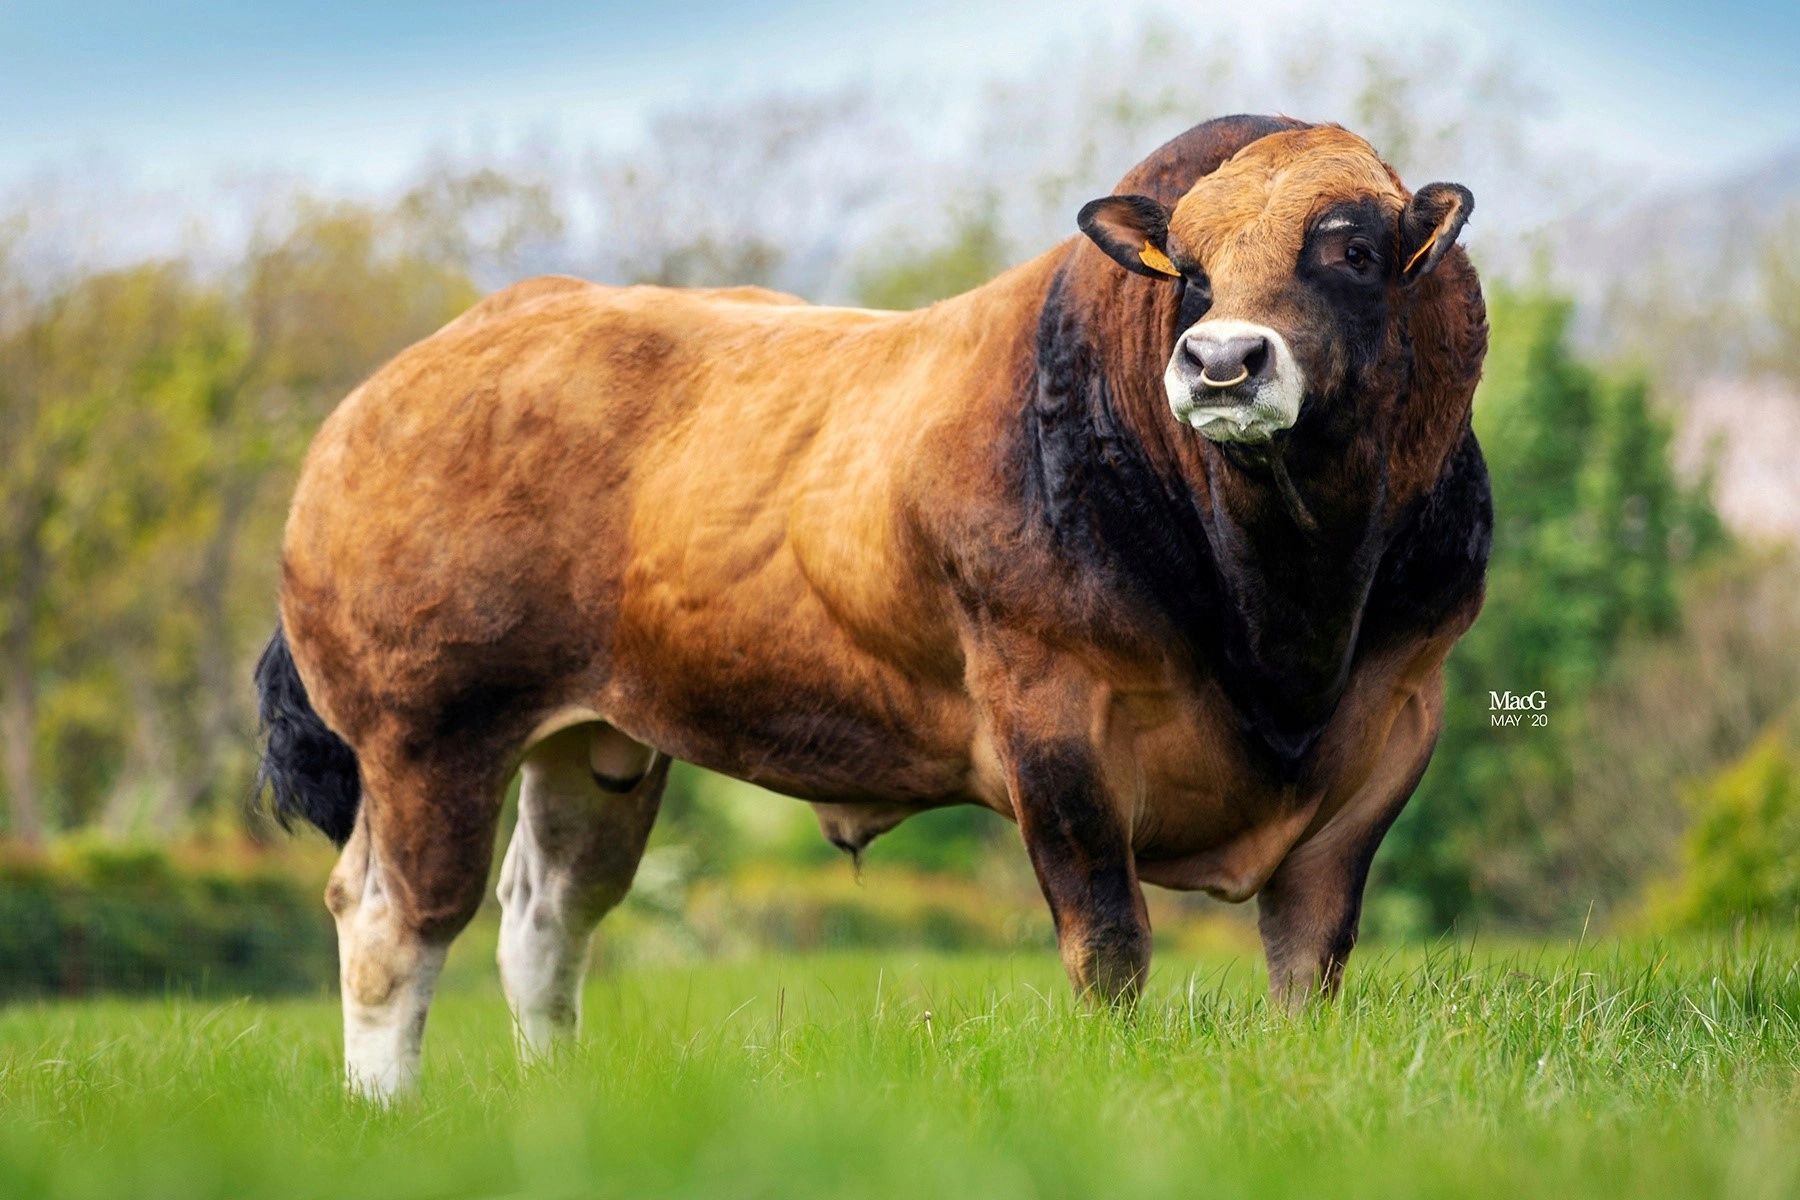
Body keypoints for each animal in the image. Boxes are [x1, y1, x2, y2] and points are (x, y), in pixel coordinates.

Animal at [255, 114, 1491, 1099]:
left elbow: (1310, 960)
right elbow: (1110, 946)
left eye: (1353, 250)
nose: (1222, 361)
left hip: (591, 746)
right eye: (1185, 268)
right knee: (393, 923)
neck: (1284, 621)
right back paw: (385, 1108)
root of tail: (402, 380)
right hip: (429, 733)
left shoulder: (1390, 731)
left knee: (545, 923)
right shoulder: (1054, 723)